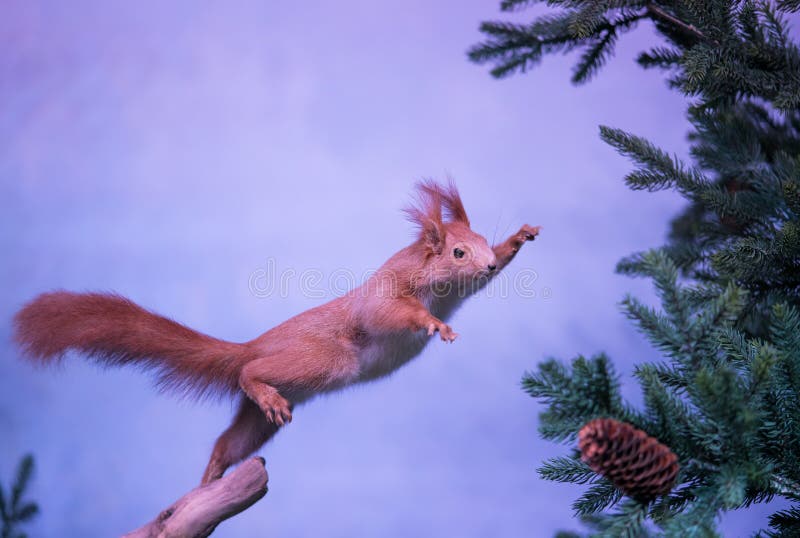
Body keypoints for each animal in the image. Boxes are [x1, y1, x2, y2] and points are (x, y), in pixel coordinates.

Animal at [13, 179, 541, 485]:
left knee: (231, 441)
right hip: (315, 361)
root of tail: (253, 346)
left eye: (481, 243)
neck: (431, 282)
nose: (485, 259)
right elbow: (396, 314)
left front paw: (517, 240)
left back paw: (210, 477)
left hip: (262, 418)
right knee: (249, 373)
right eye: (457, 252)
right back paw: (253, 385)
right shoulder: (383, 296)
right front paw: (434, 325)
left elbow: (487, 281)